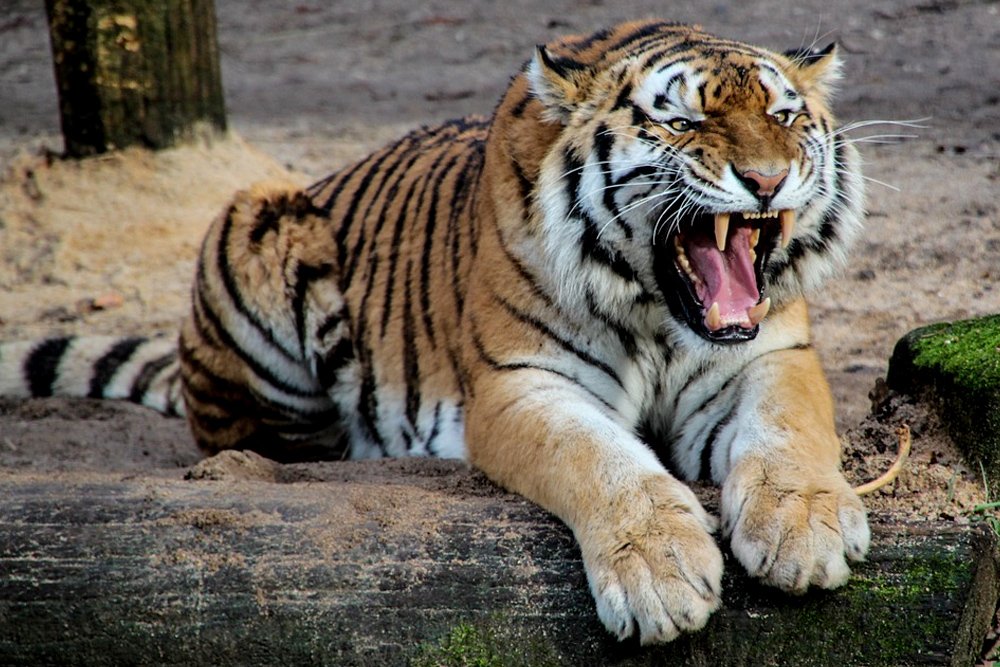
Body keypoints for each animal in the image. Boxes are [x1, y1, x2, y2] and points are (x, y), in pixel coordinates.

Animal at [0, 20, 871, 644]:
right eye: (685, 120)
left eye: (784, 115)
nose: (767, 180)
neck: (659, 312)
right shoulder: (521, 383)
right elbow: (601, 460)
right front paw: (660, 572)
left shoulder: (771, 354)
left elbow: (788, 429)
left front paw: (805, 528)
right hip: (254, 219)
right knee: (255, 438)